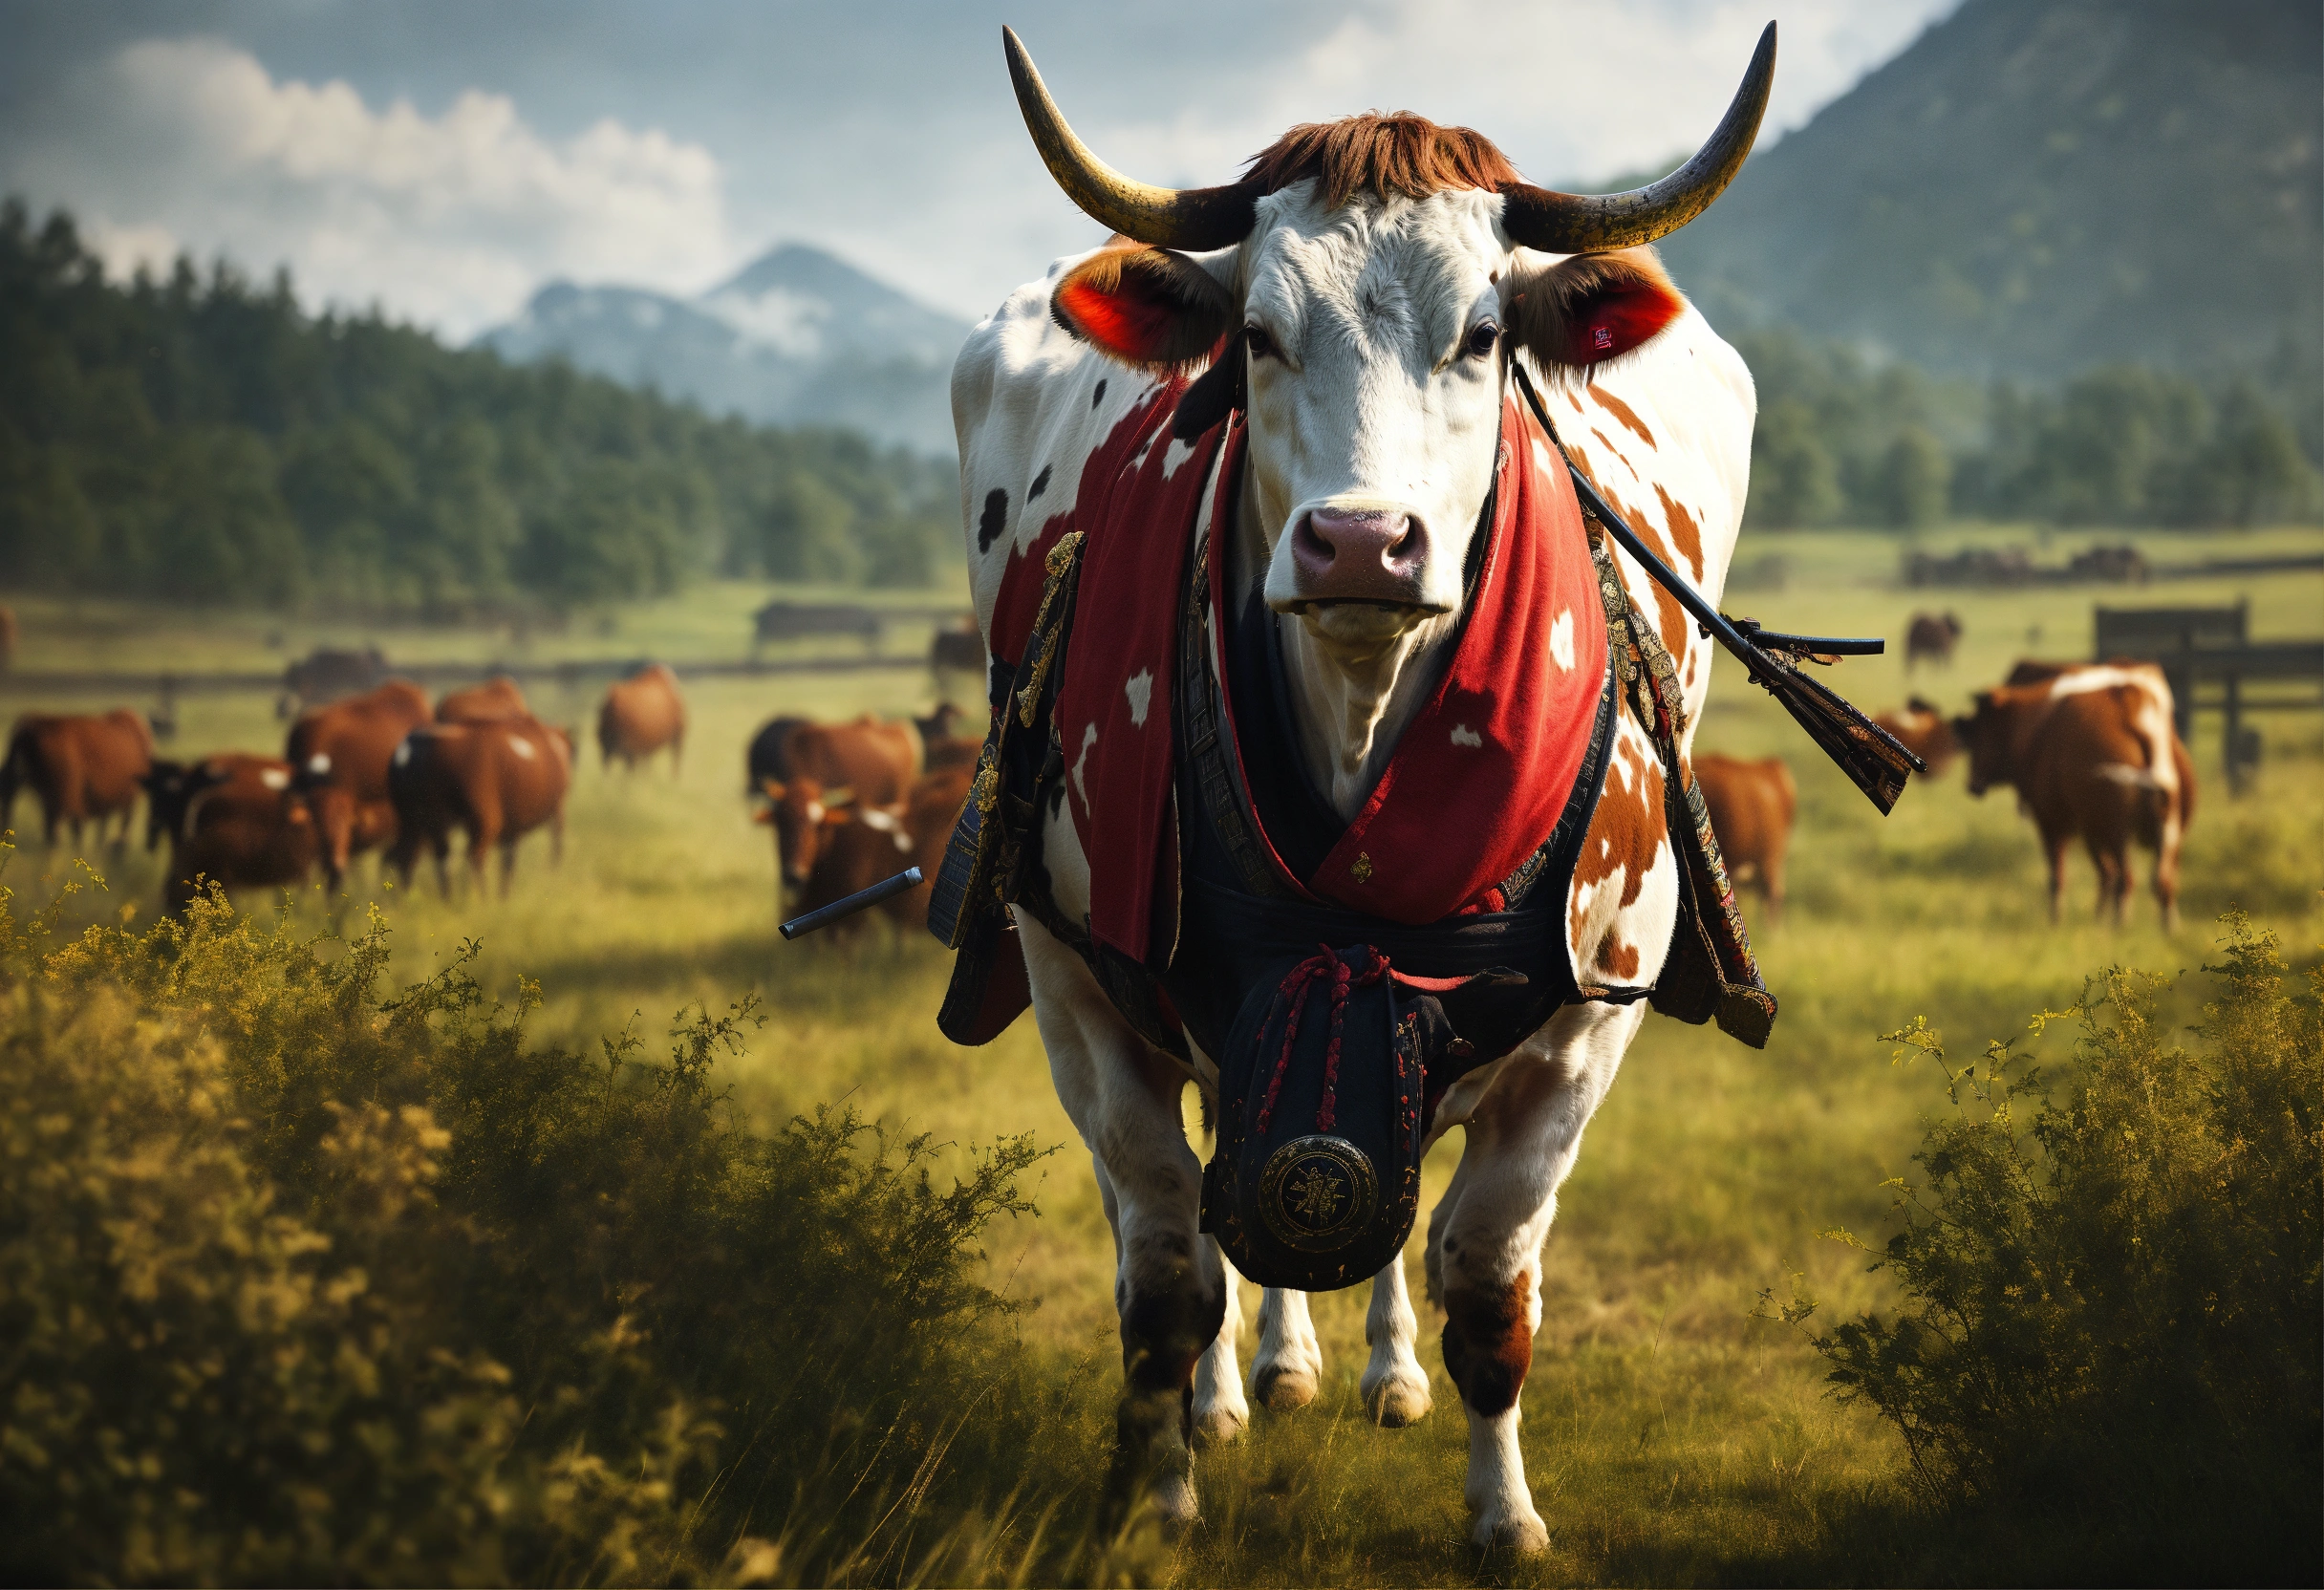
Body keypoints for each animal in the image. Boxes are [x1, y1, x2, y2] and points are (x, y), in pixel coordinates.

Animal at [385, 717, 573, 897]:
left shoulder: (513, 826)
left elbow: (508, 861)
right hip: (479, 819)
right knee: (469, 856)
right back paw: (478, 898)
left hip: (413, 820)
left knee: (409, 855)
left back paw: (407, 899)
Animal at [949, 28, 1774, 1549]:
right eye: (1256, 336)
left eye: (1483, 335)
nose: (1359, 543)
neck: (1355, 702)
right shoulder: (1083, 984)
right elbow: (1168, 1260)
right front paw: (1161, 1496)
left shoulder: (1586, 1023)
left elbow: (1486, 1278)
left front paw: (1502, 1515)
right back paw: (1244, 1386)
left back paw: (1380, 1372)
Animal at [1954, 662, 2194, 930]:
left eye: (1979, 732)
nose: (1972, 785)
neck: (2035, 726)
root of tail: (2133, 704)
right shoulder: (2090, 828)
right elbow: (2105, 873)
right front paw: (2096, 919)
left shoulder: (2052, 821)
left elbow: (2058, 876)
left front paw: (2056, 921)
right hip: (2167, 831)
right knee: (2163, 881)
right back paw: (2167, 927)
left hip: (2117, 830)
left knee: (2128, 879)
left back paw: (2119, 926)